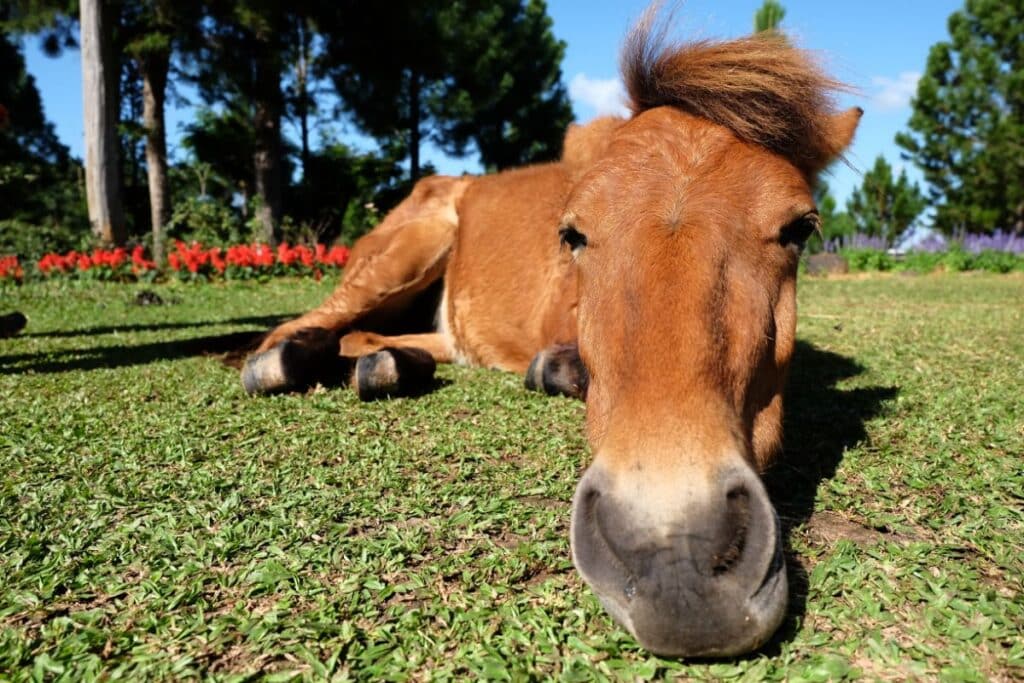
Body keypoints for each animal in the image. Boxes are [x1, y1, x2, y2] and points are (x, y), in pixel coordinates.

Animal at [241, 14, 860, 657]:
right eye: (573, 233)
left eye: (799, 229)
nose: (676, 563)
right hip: (405, 255)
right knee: (311, 325)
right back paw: (286, 361)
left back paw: (392, 365)